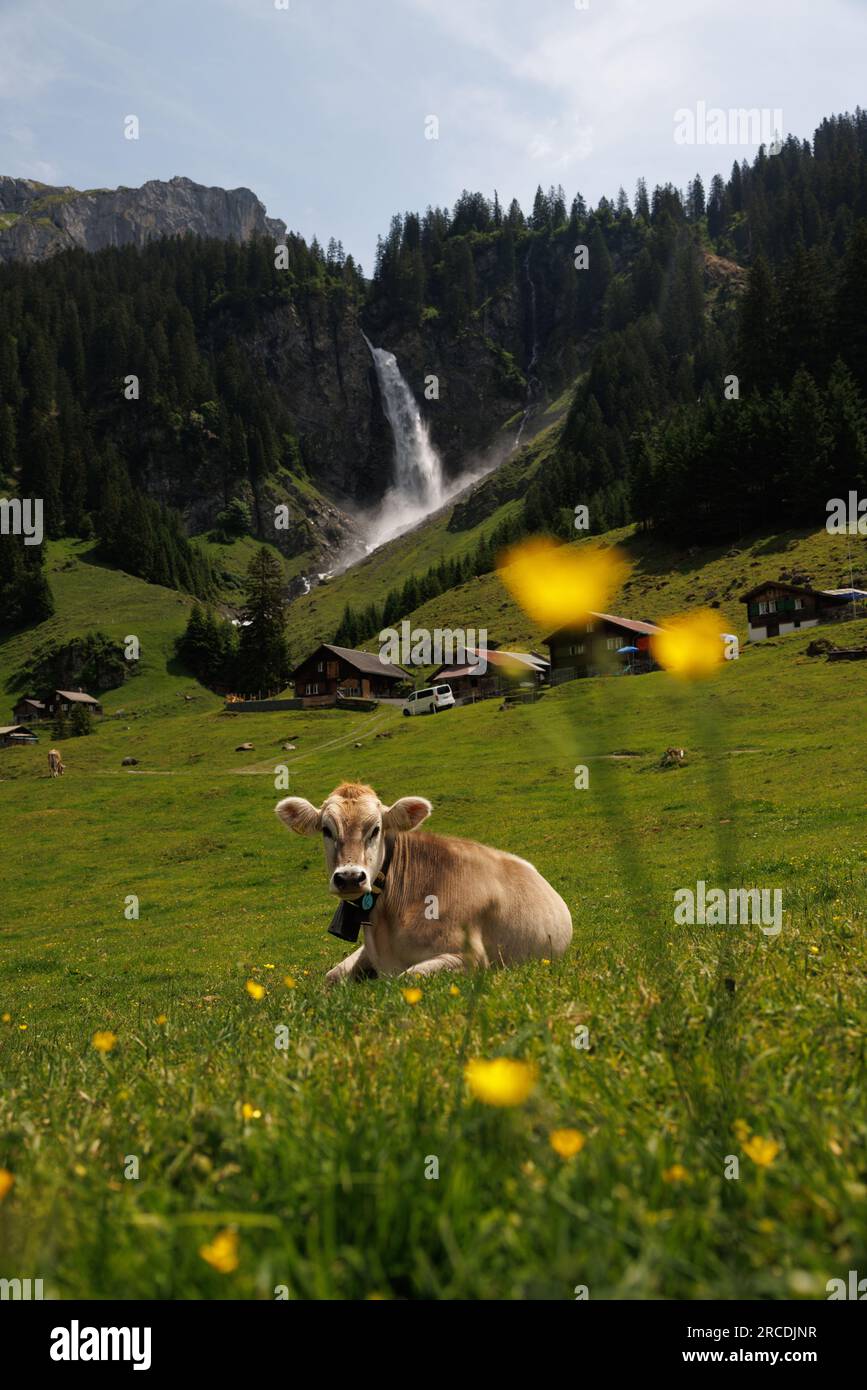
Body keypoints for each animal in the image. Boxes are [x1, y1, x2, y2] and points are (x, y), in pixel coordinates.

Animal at [275, 782, 572, 984]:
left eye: (376, 829)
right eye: (326, 830)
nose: (349, 877)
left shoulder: (473, 957)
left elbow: (408, 977)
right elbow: (331, 976)